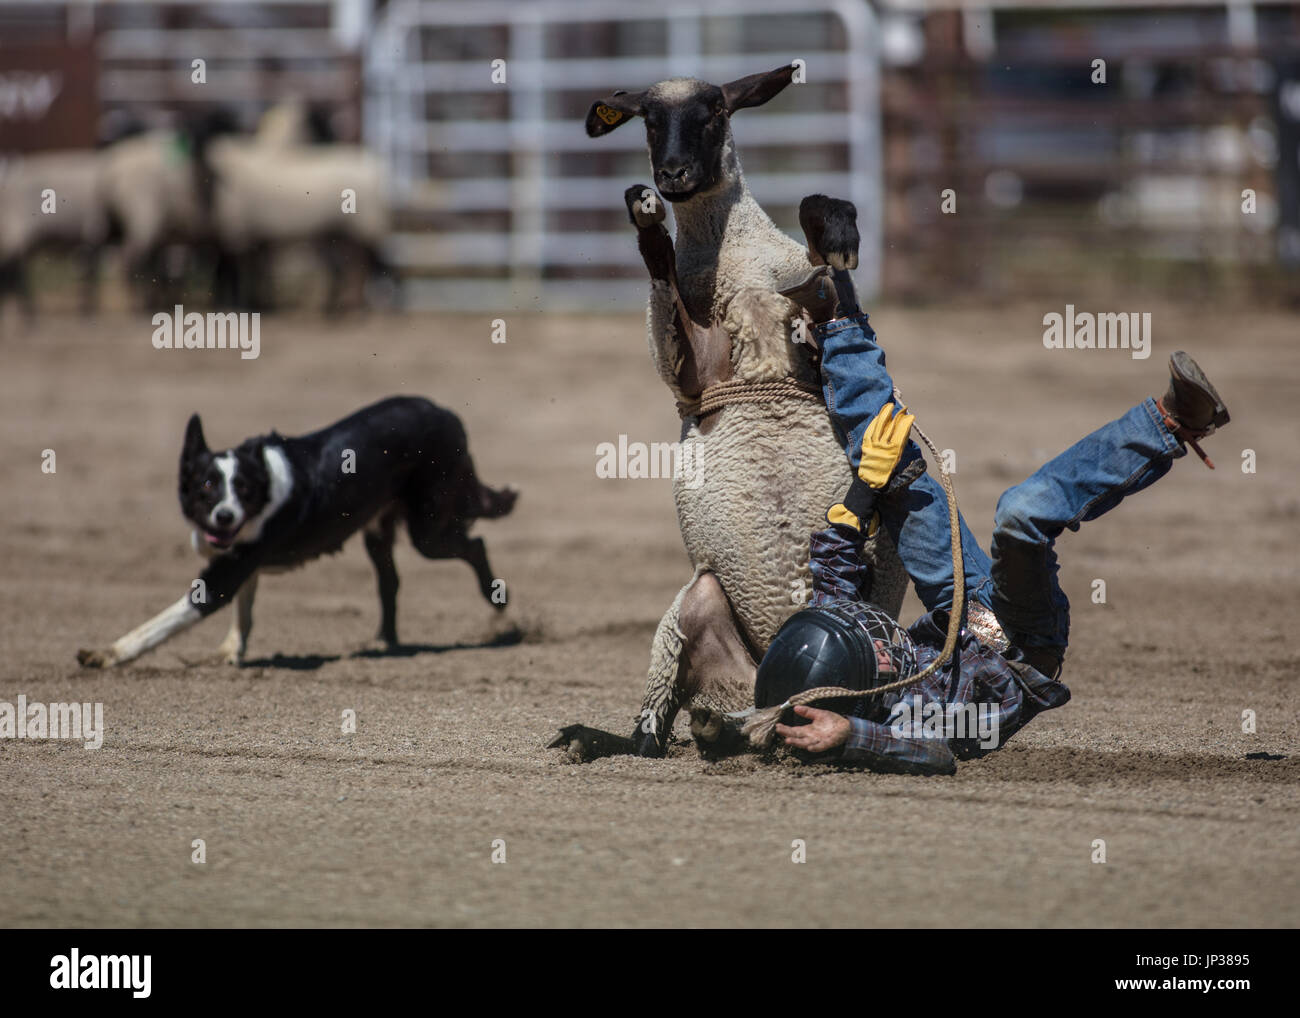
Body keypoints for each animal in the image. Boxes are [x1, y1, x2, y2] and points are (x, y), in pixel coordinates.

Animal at [553, 65, 908, 759]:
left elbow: (831, 272)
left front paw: (839, 234)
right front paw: (644, 216)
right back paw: (633, 736)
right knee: (653, 735)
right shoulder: (691, 372)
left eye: (716, 110)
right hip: (696, 607)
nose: (672, 175)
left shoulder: (814, 318)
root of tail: (768, 705)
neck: (738, 263)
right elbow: (663, 286)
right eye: (647, 118)